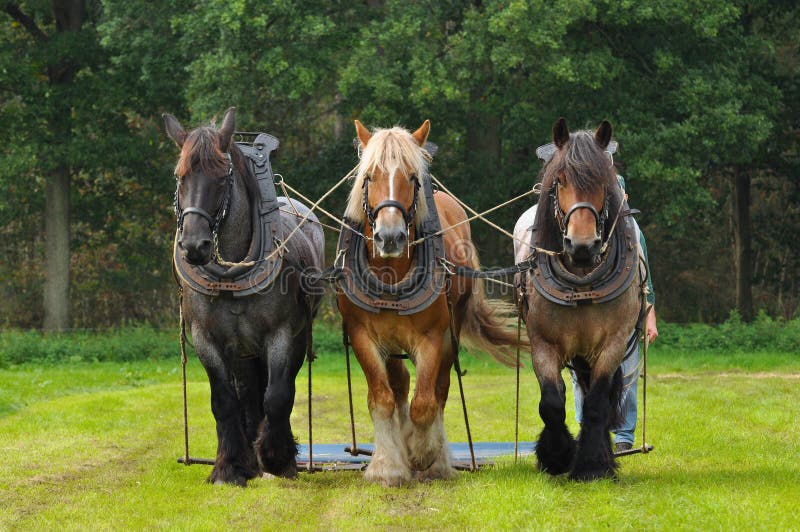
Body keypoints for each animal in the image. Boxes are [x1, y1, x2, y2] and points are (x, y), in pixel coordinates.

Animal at [163, 108, 324, 485]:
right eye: (179, 177)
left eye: (222, 178)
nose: (194, 245)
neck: (232, 274)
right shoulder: (206, 338)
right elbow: (224, 400)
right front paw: (230, 467)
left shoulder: (282, 334)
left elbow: (277, 396)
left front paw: (278, 459)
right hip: (241, 349)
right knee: (248, 394)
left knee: (277, 389)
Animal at [337, 120, 523, 486]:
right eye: (369, 177)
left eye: (412, 177)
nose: (390, 237)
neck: (392, 274)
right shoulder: (363, 335)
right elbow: (382, 398)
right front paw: (387, 466)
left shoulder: (433, 337)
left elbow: (425, 402)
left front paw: (423, 454)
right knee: (399, 385)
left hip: (452, 332)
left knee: (439, 389)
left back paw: (434, 458)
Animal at [513, 118, 643, 481]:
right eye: (560, 180)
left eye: (602, 180)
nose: (582, 245)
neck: (582, 282)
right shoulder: (542, 343)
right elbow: (551, 403)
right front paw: (556, 456)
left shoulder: (612, 344)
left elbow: (598, 403)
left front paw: (593, 465)